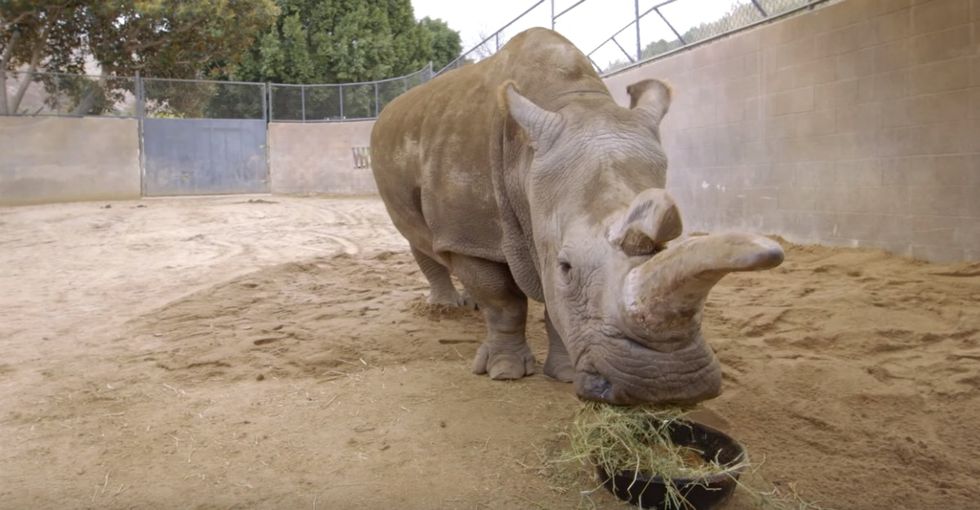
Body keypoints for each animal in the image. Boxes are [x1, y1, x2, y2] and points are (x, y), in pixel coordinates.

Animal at [370, 28, 783, 405]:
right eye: (566, 266)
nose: (667, 386)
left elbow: (554, 308)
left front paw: (565, 374)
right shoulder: (469, 237)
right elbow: (502, 302)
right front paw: (505, 372)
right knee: (419, 238)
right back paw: (447, 308)